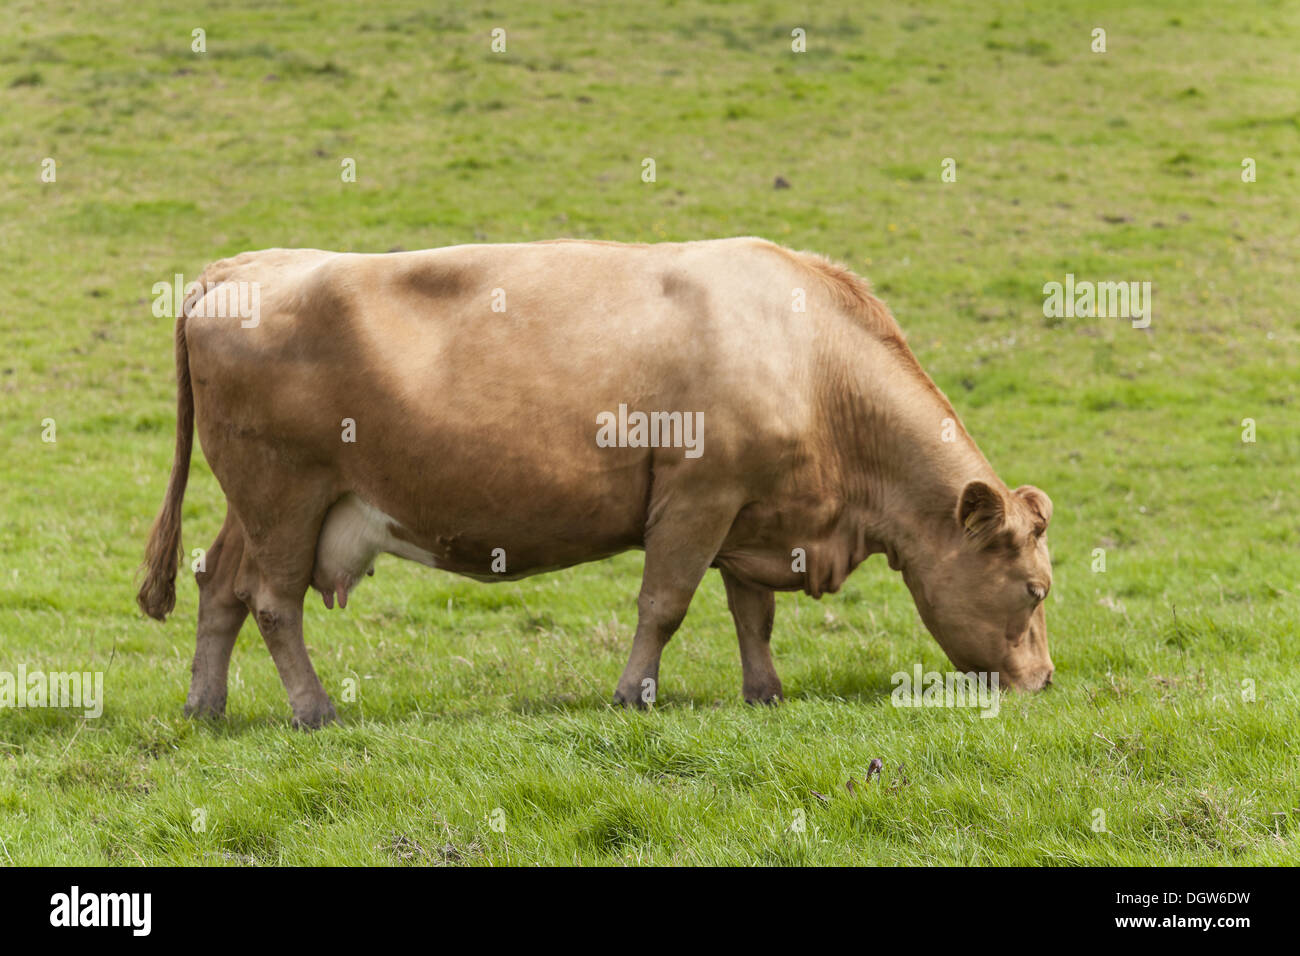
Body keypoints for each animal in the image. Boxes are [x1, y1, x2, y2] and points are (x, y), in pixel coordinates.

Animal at [138, 238, 1055, 728]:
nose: (1044, 681)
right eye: (1035, 590)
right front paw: (632, 694)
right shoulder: (697, 499)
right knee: (272, 603)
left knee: (220, 587)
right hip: (282, 492)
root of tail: (235, 268)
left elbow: (751, 614)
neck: (814, 361)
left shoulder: (752, 514)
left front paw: (763, 693)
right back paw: (314, 708)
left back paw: (205, 706)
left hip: (261, 503)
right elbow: (666, 604)